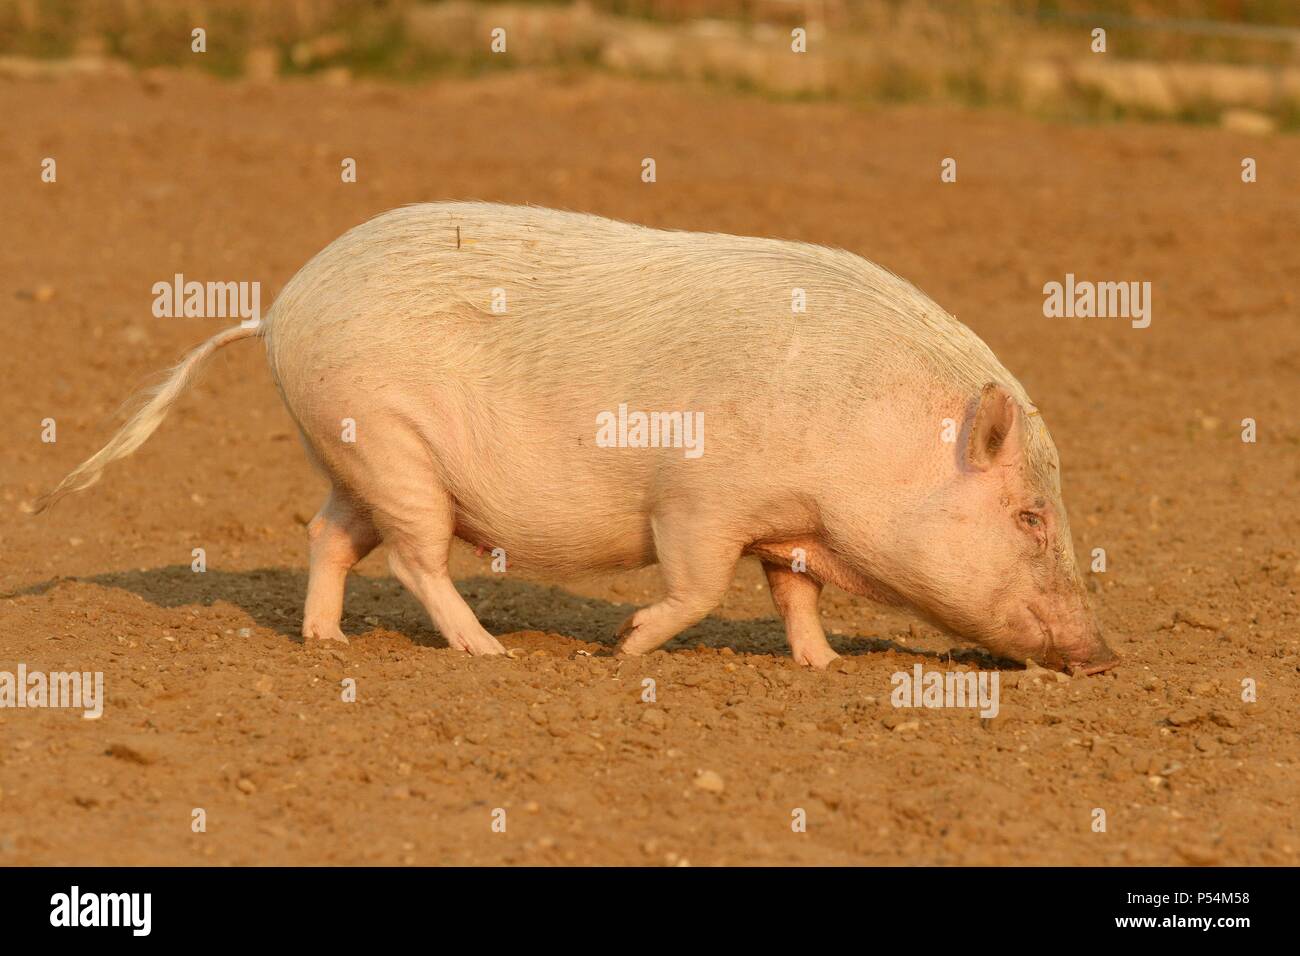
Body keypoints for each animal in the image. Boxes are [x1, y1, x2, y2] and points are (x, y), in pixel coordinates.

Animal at [40, 202, 1118, 674]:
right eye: (1030, 515)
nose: (1103, 654)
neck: (865, 434)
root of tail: (277, 309)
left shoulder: (786, 523)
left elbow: (793, 592)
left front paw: (823, 668)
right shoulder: (698, 498)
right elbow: (696, 586)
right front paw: (625, 648)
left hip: (358, 454)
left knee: (328, 535)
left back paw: (326, 639)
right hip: (392, 444)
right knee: (418, 559)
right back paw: (488, 654)